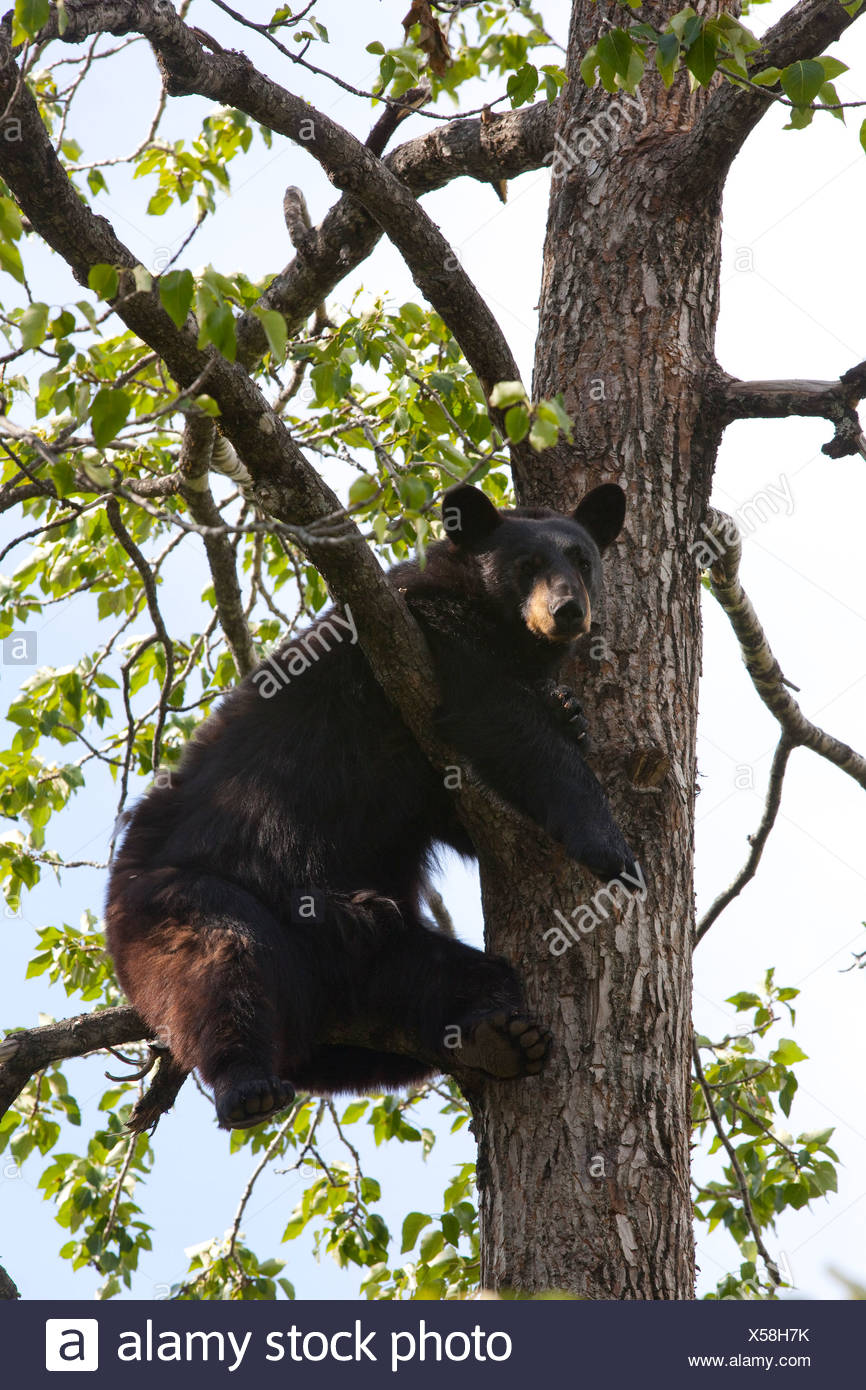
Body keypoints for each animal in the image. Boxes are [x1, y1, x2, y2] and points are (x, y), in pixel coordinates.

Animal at [105, 481, 636, 1129]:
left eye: (582, 561)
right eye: (527, 564)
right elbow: (503, 720)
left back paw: (499, 1038)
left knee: (446, 978)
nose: (566, 611)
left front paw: (570, 712)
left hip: (381, 960)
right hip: (168, 902)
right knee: (221, 958)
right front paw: (612, 849)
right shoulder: (431, 637)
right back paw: (247, 1086)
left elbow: (458, 815)